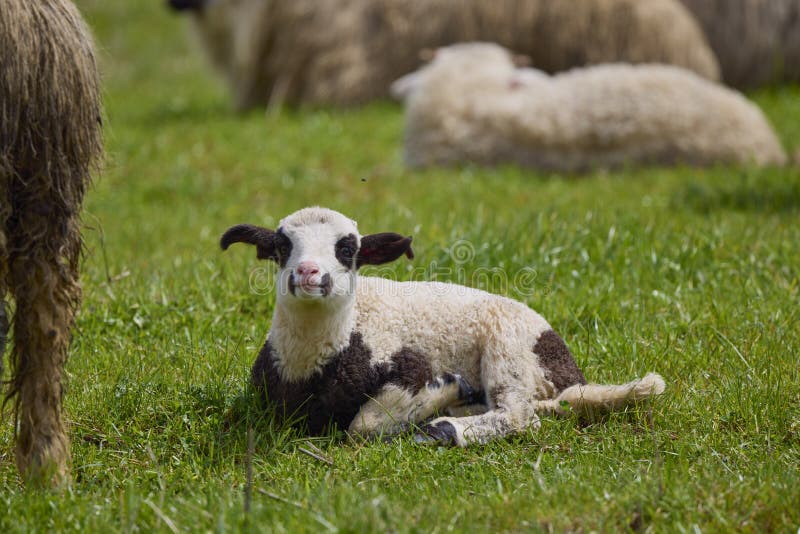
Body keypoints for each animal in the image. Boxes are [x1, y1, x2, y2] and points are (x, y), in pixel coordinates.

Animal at [220, 207, 665, 446]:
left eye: (347, 250)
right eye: (282, 247)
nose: (309, 273)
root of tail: (570, 373)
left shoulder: (407, 365)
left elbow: (362, 427)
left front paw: (443, 390)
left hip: (510, 345)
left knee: (518, 415)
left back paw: (446, 426)